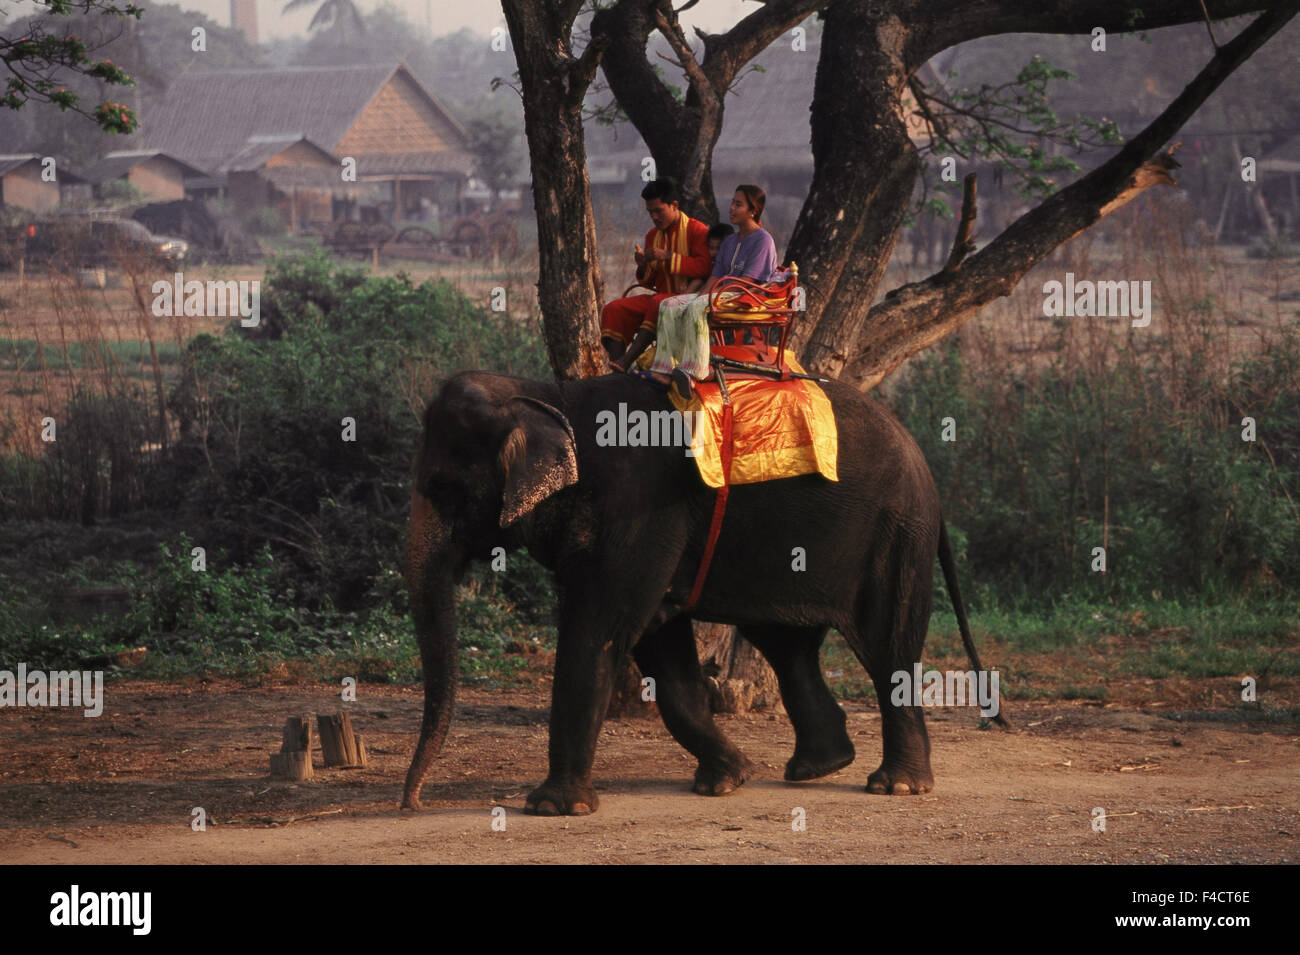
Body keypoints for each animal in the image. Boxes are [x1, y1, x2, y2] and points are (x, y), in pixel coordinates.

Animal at [401, 369, 1000, 815]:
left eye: (441, 488)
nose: (413, 803)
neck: (547, 396)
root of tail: (924, 462)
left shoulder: (639, 514)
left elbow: (599, 630)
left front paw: (551, 808)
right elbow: (658, 643)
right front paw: (727, 781)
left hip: (896, 533)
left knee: (886, 646)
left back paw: (895, 786)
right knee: (787, 645)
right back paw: (817, 767)